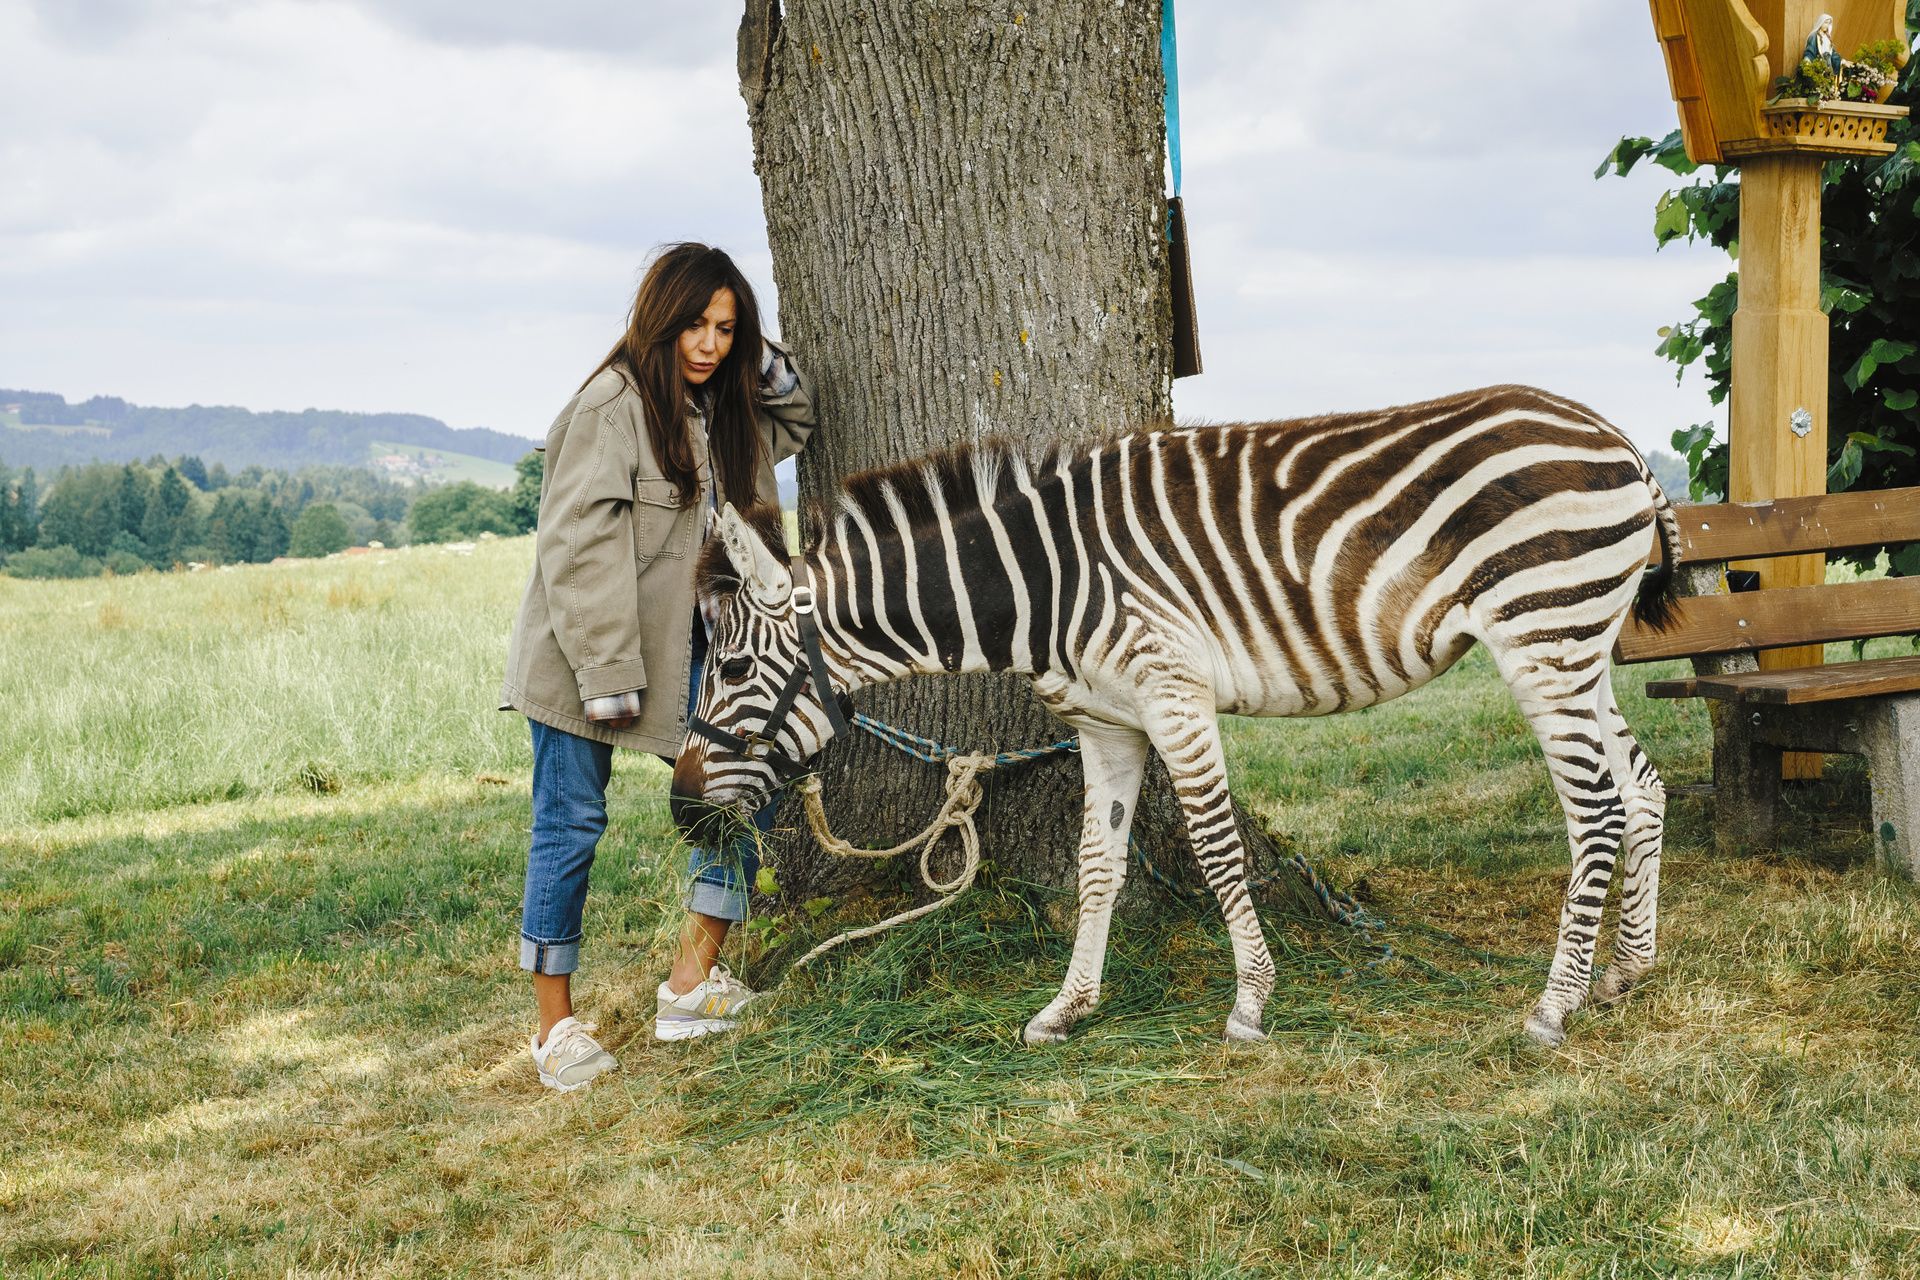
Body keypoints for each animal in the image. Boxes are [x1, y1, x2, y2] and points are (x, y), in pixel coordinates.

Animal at [670, 385, 1681, 1048]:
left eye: (730, 667)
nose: (680, 811)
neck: (1043, 582)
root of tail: (1619, 441)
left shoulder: (1173, 695)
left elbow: (1216, 846)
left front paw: (1251, 1003)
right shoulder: (1106, 724)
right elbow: (1098, 865)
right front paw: (1067, 1008)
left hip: (1541, 635)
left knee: (1595, 810)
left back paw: (1554, 1006)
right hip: (1580, 647)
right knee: (1642, 788)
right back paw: (1626, 972)